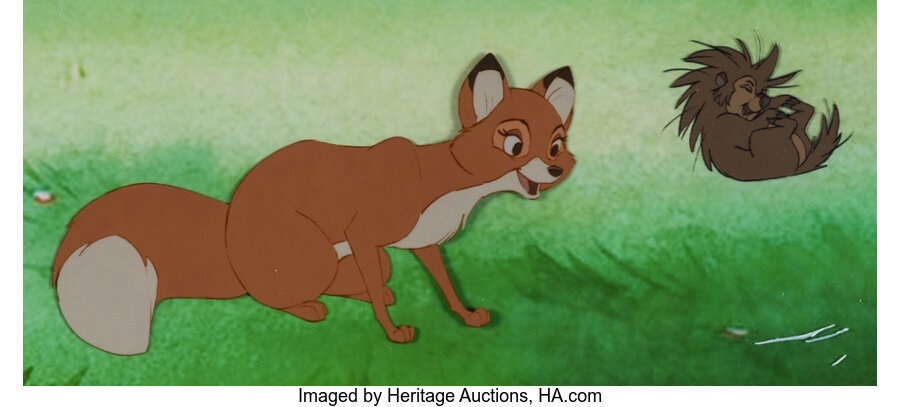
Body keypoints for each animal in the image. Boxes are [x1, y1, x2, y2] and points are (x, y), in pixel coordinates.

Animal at [51, 54, 576, 355]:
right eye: (514, 144)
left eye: (556, 144)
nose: (558, 170)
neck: (446, 184)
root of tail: (229, 231)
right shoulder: (365, 232)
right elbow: (383, 301)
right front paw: (393, 333)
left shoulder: (420, 242)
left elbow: (445, 287)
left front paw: (465, 317)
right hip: (317, 252)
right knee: (270, 297)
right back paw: (309, 308)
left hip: (355, 258)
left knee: (360, 279)